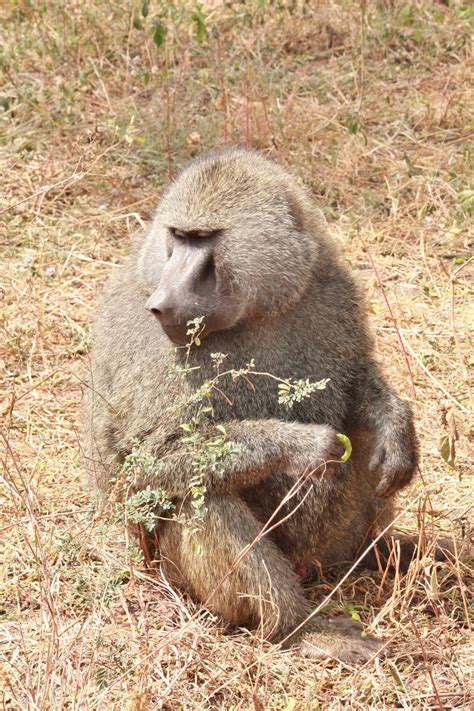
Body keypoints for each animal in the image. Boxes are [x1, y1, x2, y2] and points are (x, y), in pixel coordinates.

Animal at [84, 147, 418, 663]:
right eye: (178, 237)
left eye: (204, 238)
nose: (165, 301)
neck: (257, 311)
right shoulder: (152, 340)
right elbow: (144, 461)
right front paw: (302, 446)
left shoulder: (331, 288)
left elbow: (356, 382)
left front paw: (397, 430)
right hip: (172, 575)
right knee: (198, 492)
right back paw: (299, 628)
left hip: (329, 546)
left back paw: (384, 551)